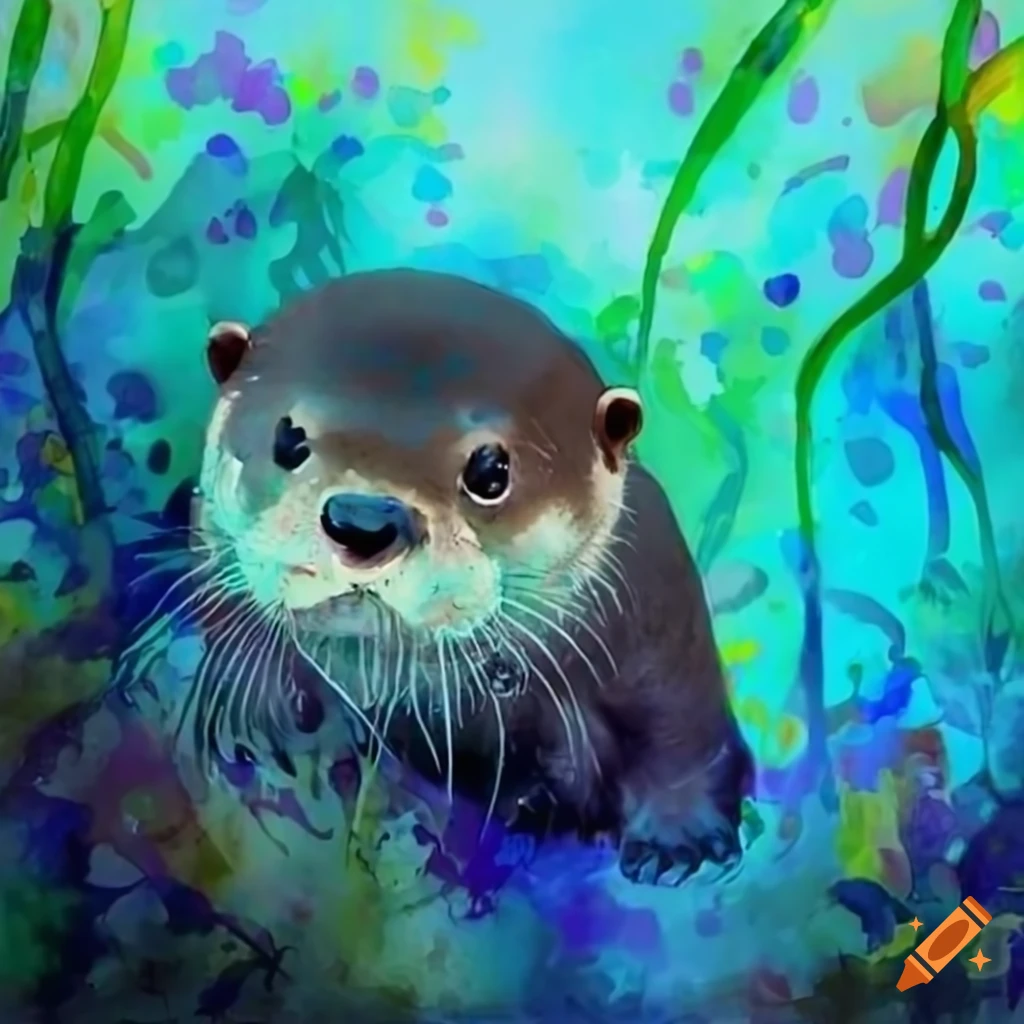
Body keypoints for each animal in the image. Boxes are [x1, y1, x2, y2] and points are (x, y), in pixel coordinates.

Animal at [186, 269, 753, 886]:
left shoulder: (655, 606)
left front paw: (679, 840)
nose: (364, 519)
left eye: (491, 471)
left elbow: (678, 726)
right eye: (287, 439)